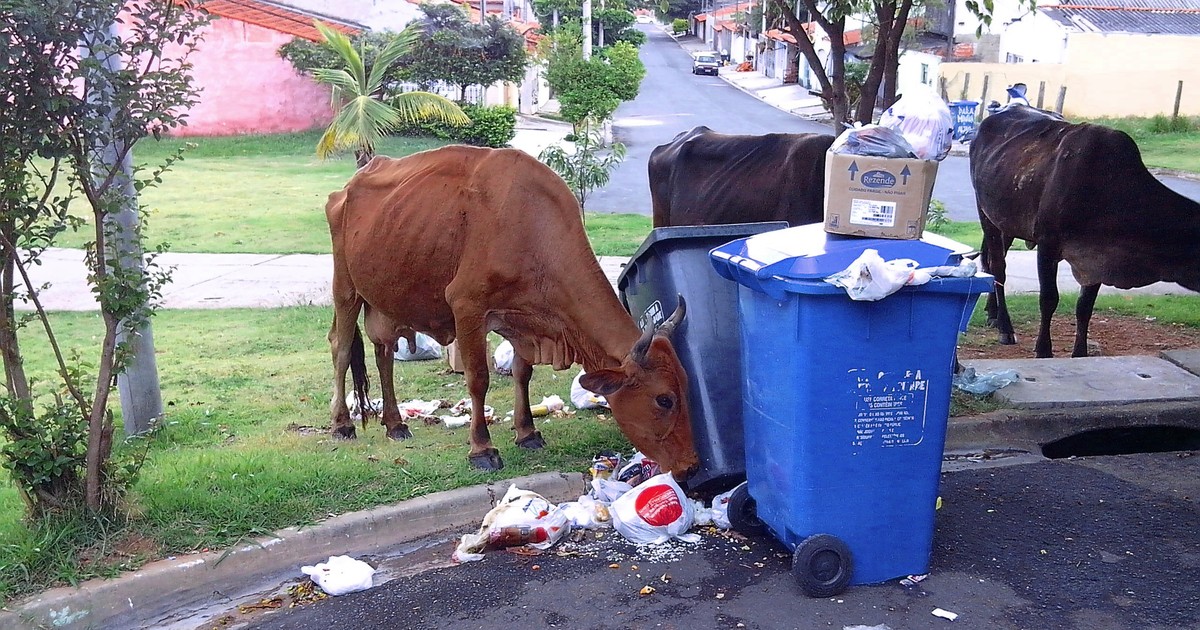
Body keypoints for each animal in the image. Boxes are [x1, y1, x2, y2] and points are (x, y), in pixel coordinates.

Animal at [325, 145, 700, 475]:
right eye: (664, 400)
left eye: (685, 386)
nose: (692, 465)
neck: (532, 225)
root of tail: (348, 186)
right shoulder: (467, 307)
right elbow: (478, 380)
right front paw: (482, 448)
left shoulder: (522, 321)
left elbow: (523, 373)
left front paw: (527, 431)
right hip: (346, 289)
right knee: (341, 349)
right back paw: (342, 424)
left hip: (384, 298)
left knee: (383, 353)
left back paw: (395, 423)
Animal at [970, 105, 1200, 358]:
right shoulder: (1048, 245)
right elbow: (1048, 299)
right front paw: (1043, 351)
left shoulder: (1096, 257)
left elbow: (1084, 307)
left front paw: (1079, 353)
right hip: (987, 215)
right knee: (998, 269)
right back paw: (1005, 327)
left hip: (1008, 224)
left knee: (990, 262)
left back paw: (992, 313)